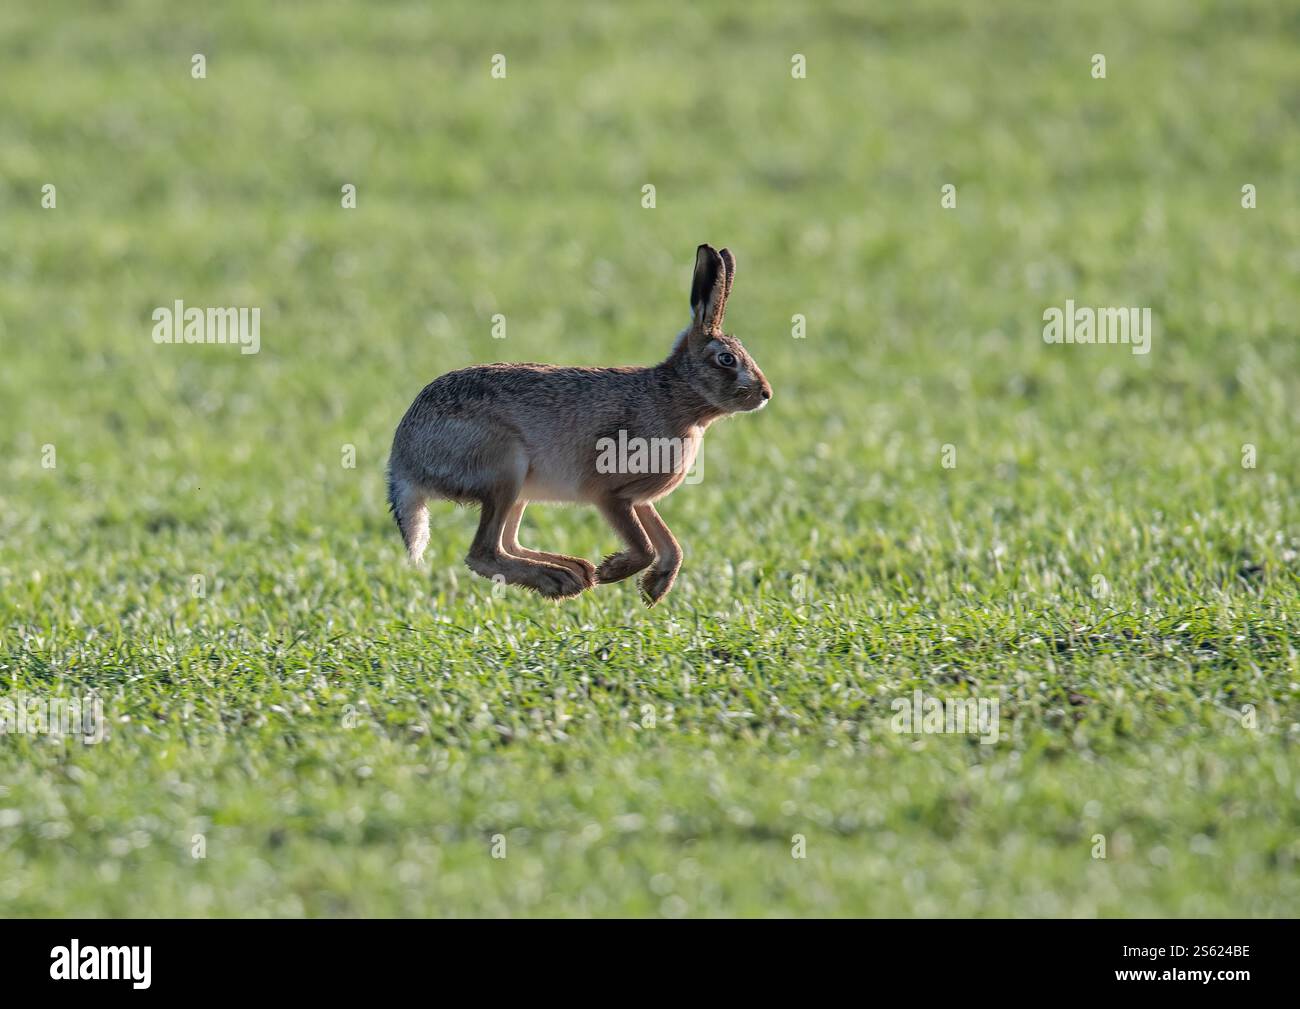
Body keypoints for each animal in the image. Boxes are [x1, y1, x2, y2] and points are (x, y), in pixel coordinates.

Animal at [387, 243, 771, 606]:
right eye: (726, 359)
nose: (765, 393)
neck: (675, 396)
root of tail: (404, 465)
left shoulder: (638, 498)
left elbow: (671, 545)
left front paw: (654, 589)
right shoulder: (611, 493)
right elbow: (646, 546)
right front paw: (613, 571)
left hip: (519, 489)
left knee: (508, 543)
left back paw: (572, 569)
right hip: (504, 469)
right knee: (485, 552)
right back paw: (561, 579)